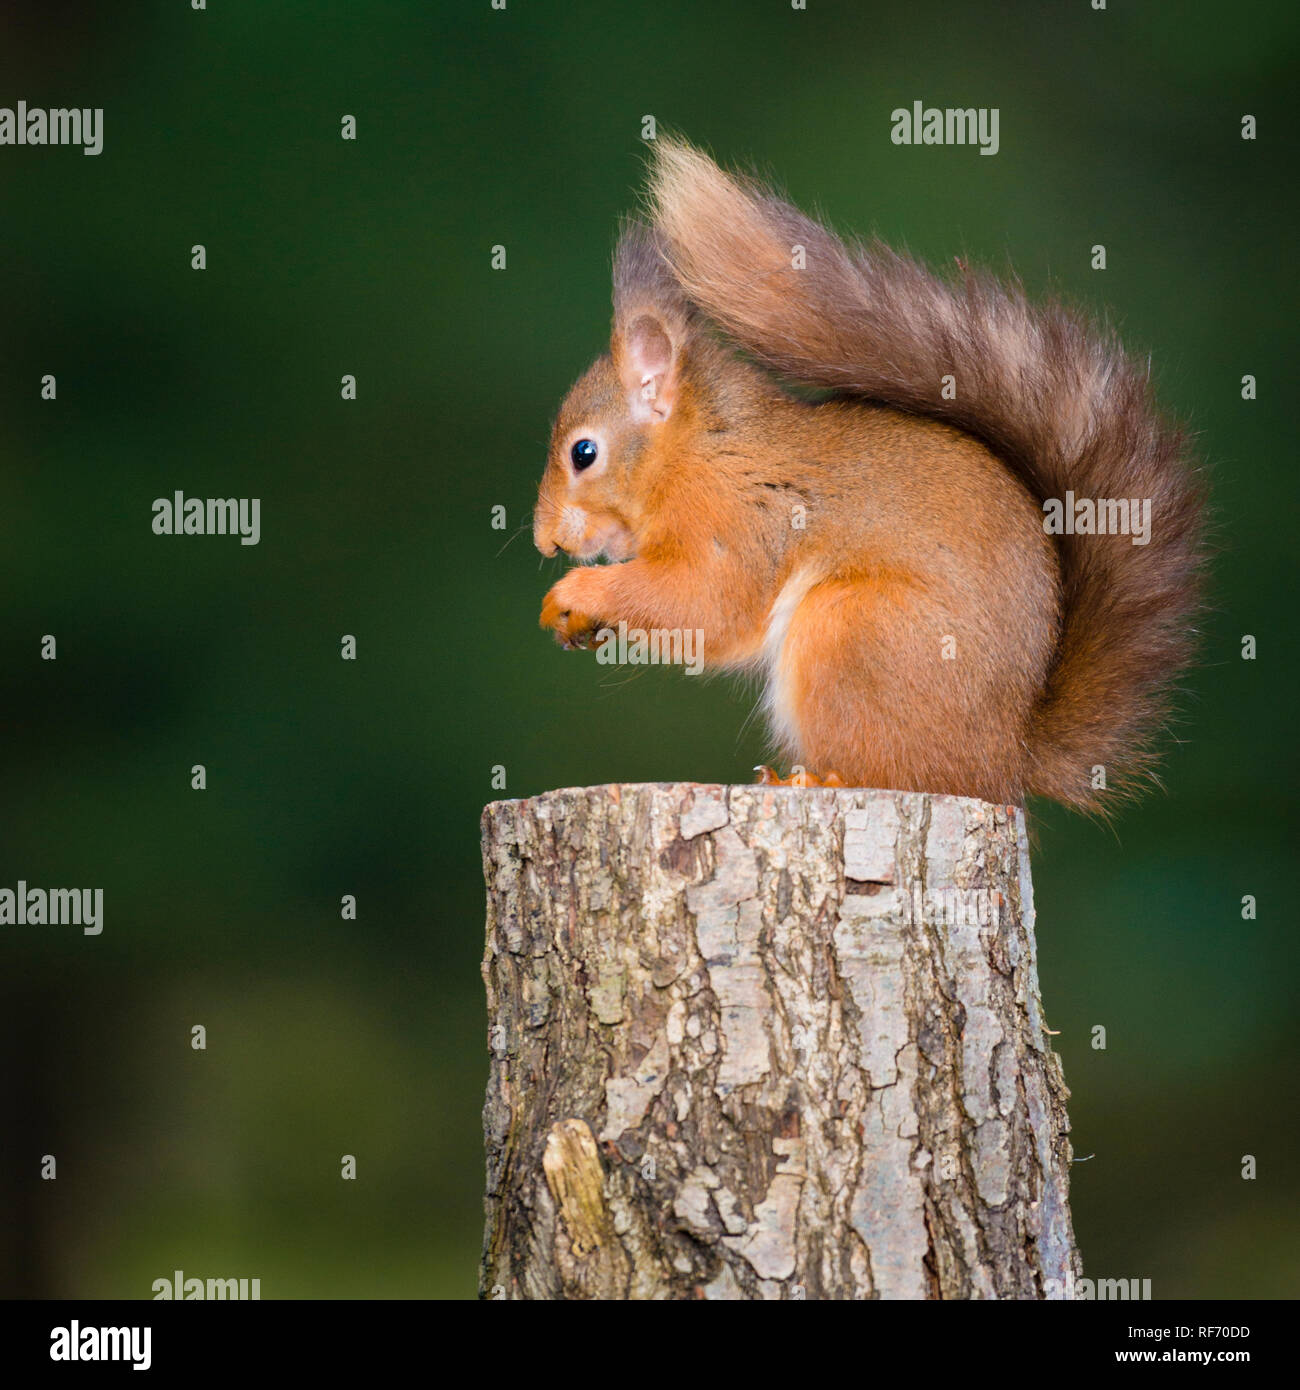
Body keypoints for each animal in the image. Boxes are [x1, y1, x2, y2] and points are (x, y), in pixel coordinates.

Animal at [533, 137, 1205, 811]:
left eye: (583, 453)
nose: (546, 543)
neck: (697, 451)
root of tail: (1006, 762)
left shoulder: (739, 519)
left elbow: (704, 603)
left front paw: (573, 594)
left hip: (852, 630)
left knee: (888, 768)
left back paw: (811, 779)